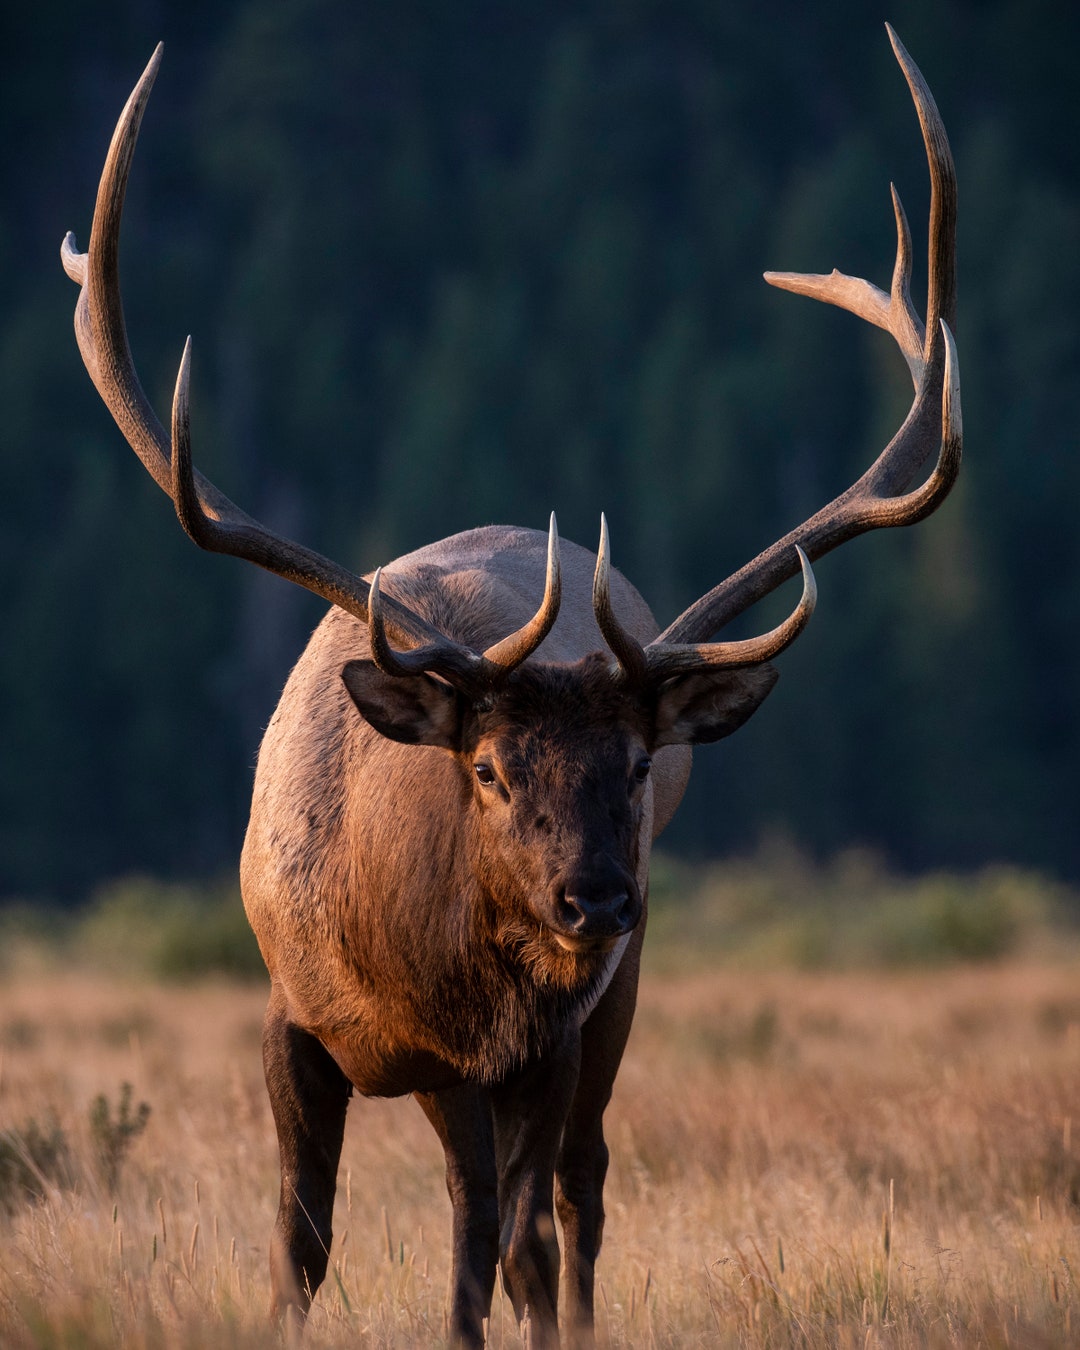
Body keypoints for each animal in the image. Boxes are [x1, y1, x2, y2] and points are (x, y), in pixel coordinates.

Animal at [62, 24, 959, 1348]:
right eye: (485, 768)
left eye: (635, 766)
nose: (593, 899)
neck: (411, 969)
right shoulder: (294, 1016)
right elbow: (303, 1240)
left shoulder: (537, 1047)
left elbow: (503, 1245)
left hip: (609, 1014)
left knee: (570, 1201)